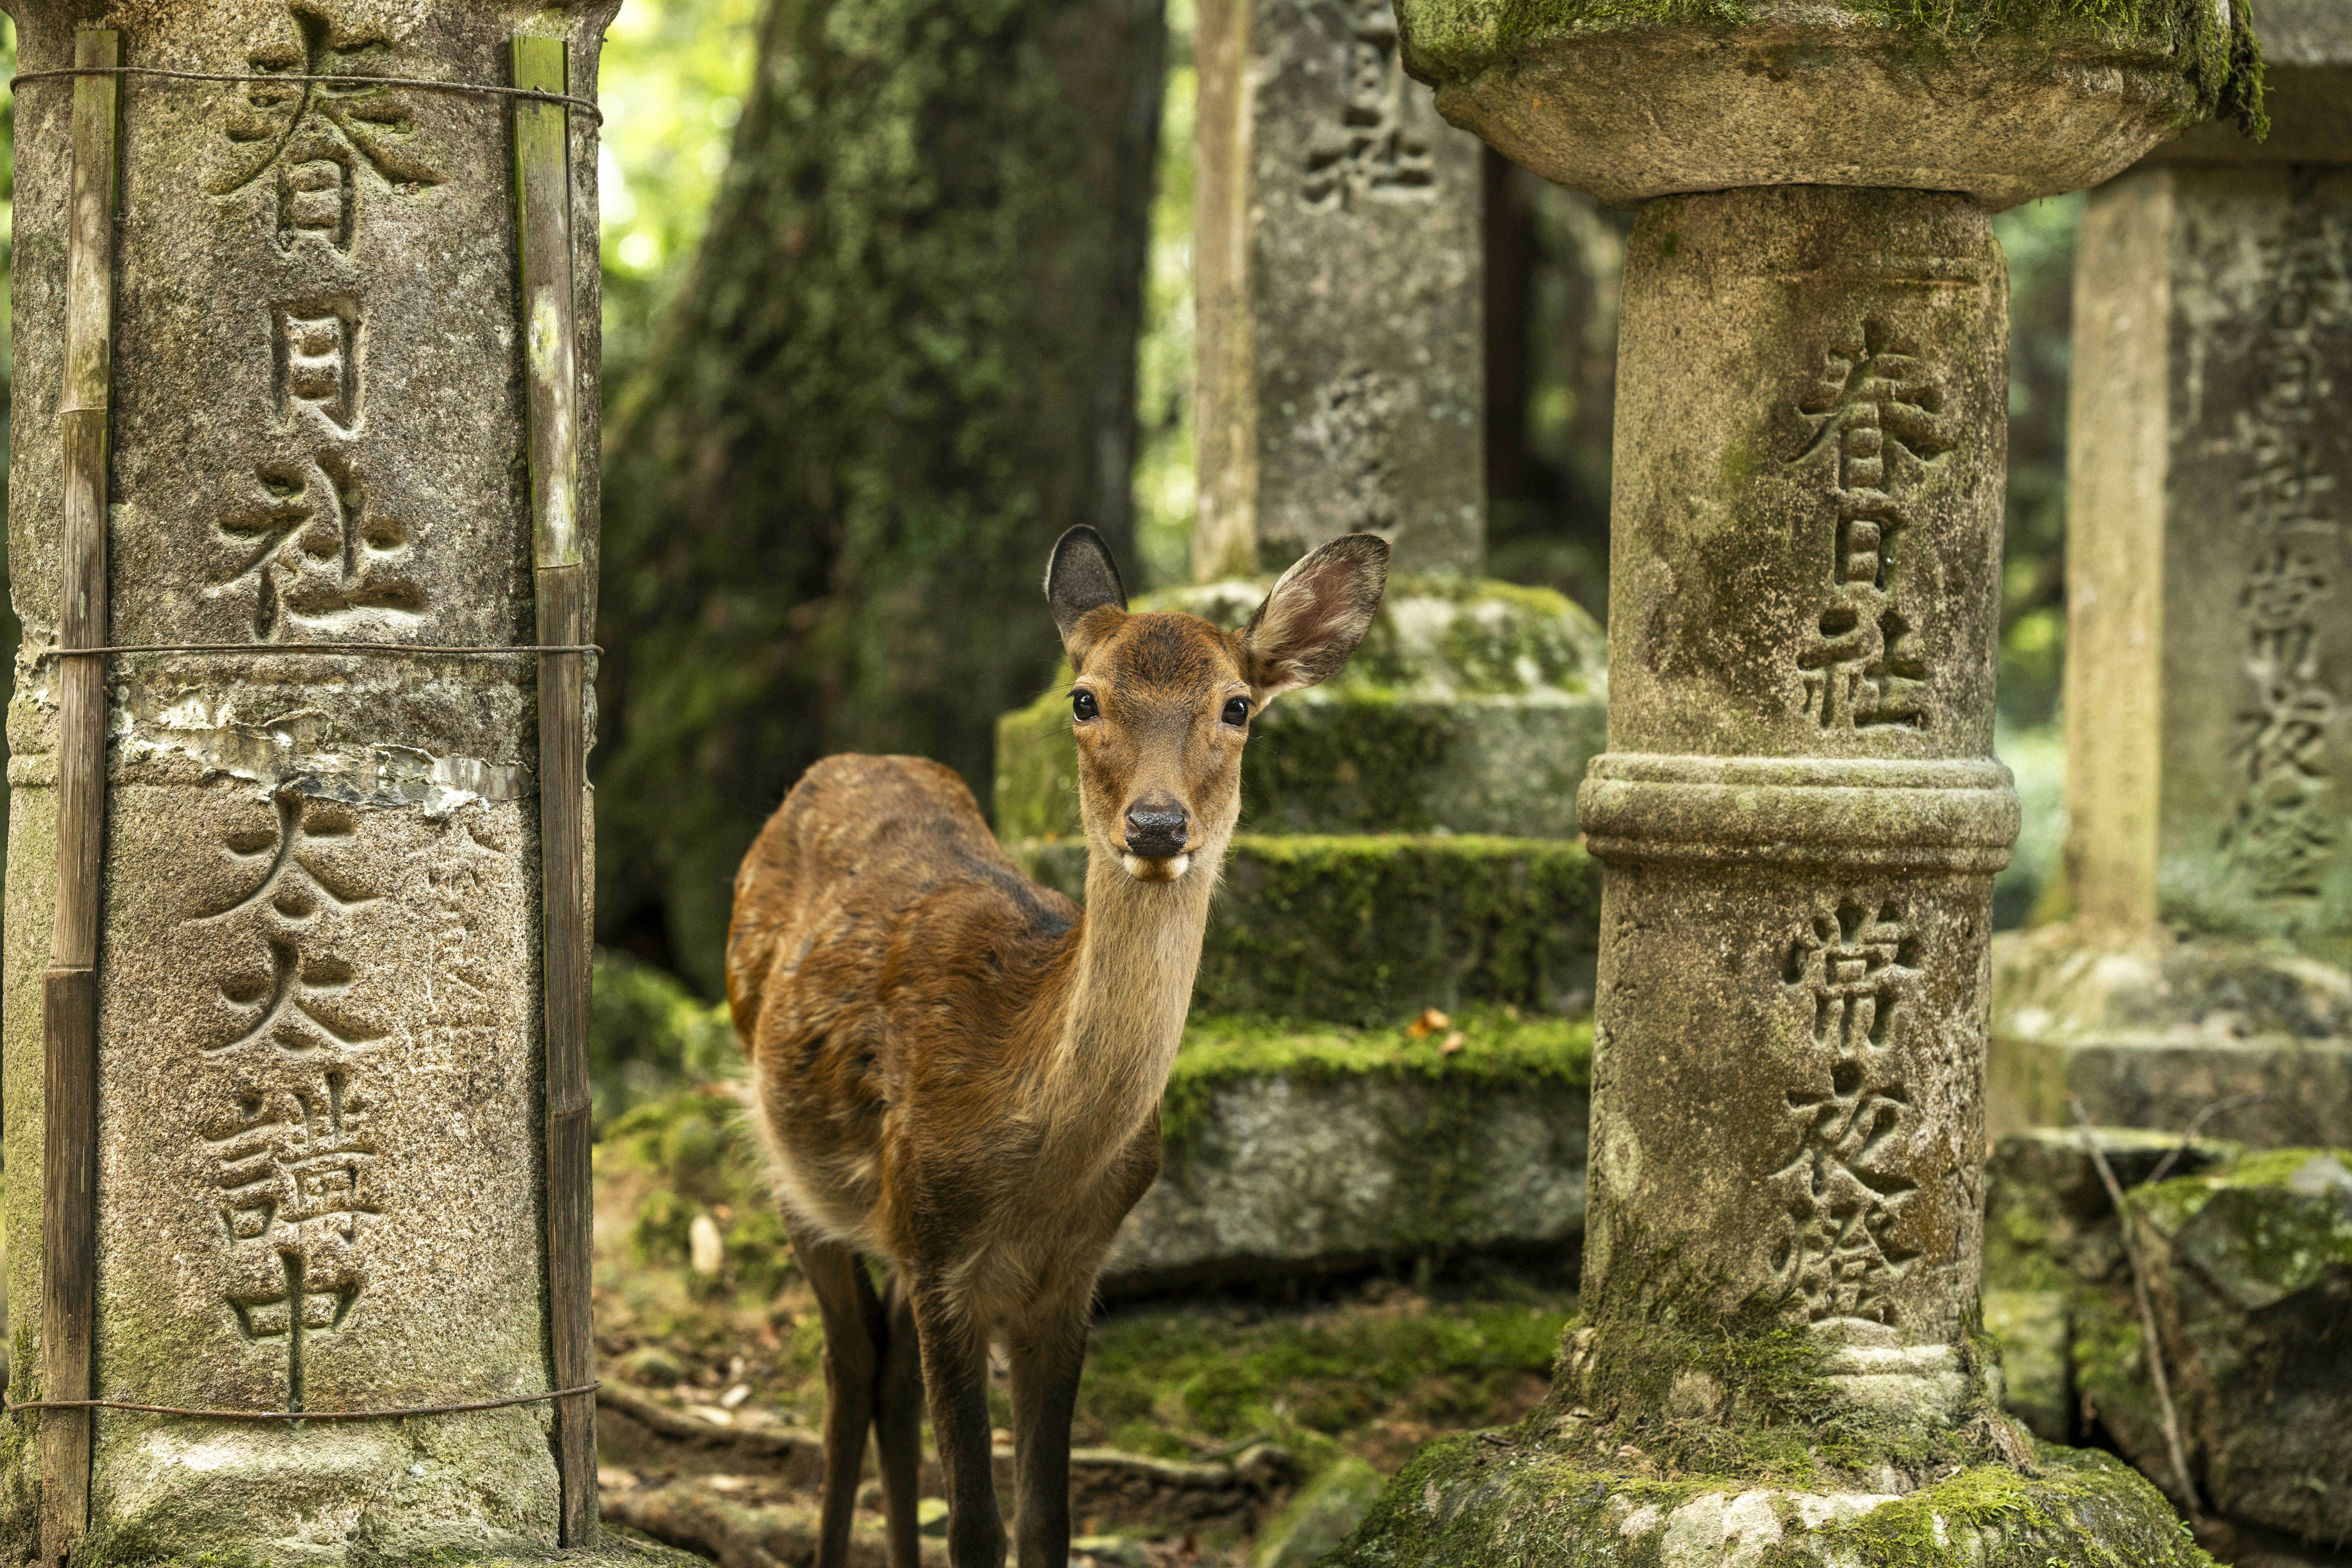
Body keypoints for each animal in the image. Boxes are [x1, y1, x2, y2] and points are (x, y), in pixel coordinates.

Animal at [725, 525, 1390, 1568]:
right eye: (1085, 698)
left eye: (1237, 705)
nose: (1156, 824)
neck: (1038, 1166)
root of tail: (846, 759)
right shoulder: (939, 1249)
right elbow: (976, 1522)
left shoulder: (1070, 1277)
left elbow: (1045, 1519)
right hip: (786, 1154)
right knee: (848, 1364)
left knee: (887, 1375)